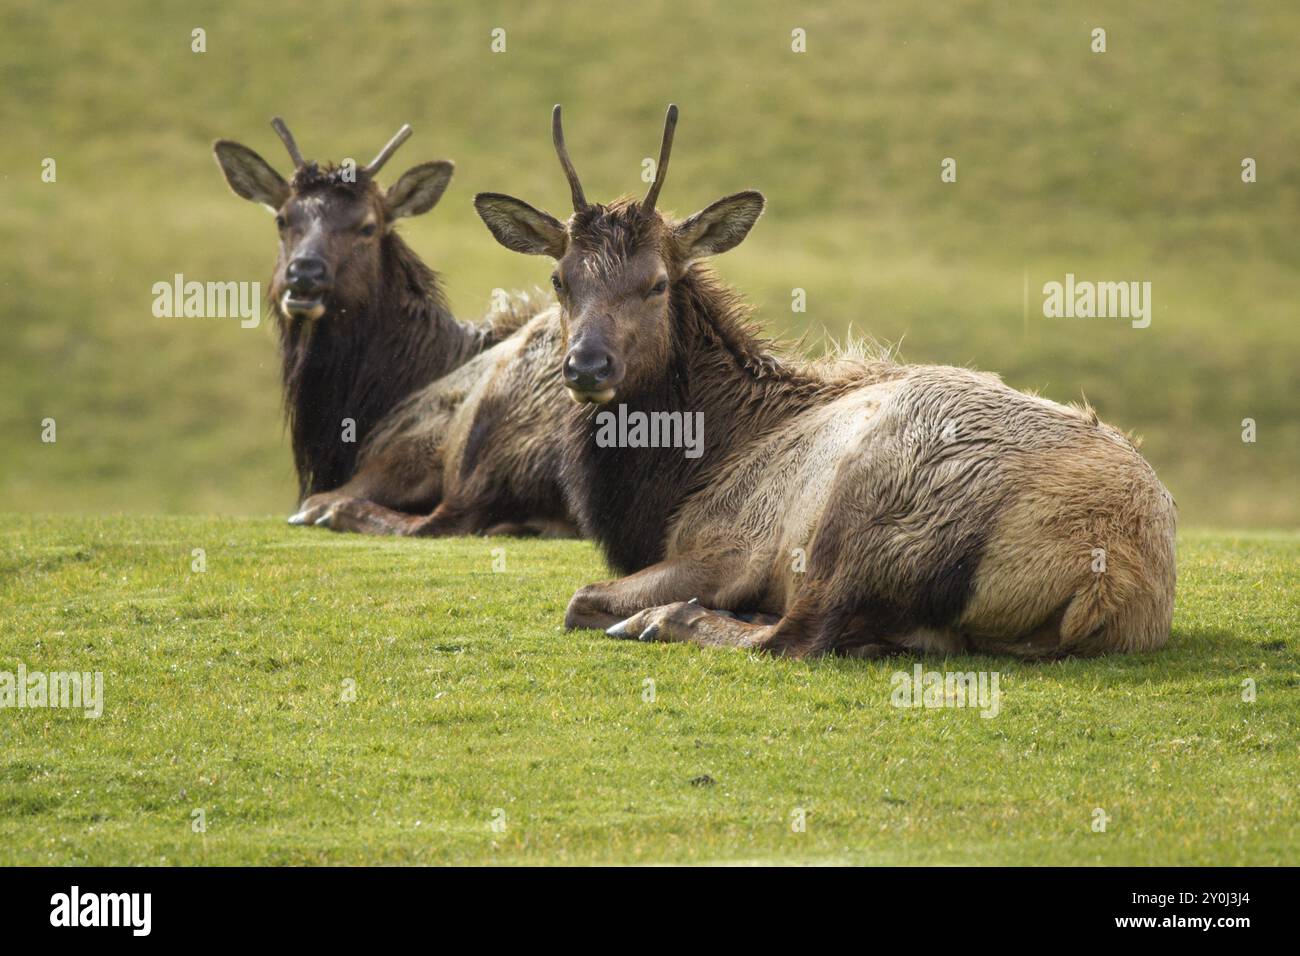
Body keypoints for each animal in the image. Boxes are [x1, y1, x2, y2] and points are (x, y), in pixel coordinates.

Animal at [471, 104, 1178, 659]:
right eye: (560, 279)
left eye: (657, 283)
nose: (587, 366)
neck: (674, 485)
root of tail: (1110, 575)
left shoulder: (733, 543)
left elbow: (580, 597)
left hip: (870, 509)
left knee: (796, 637)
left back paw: (664, 619)